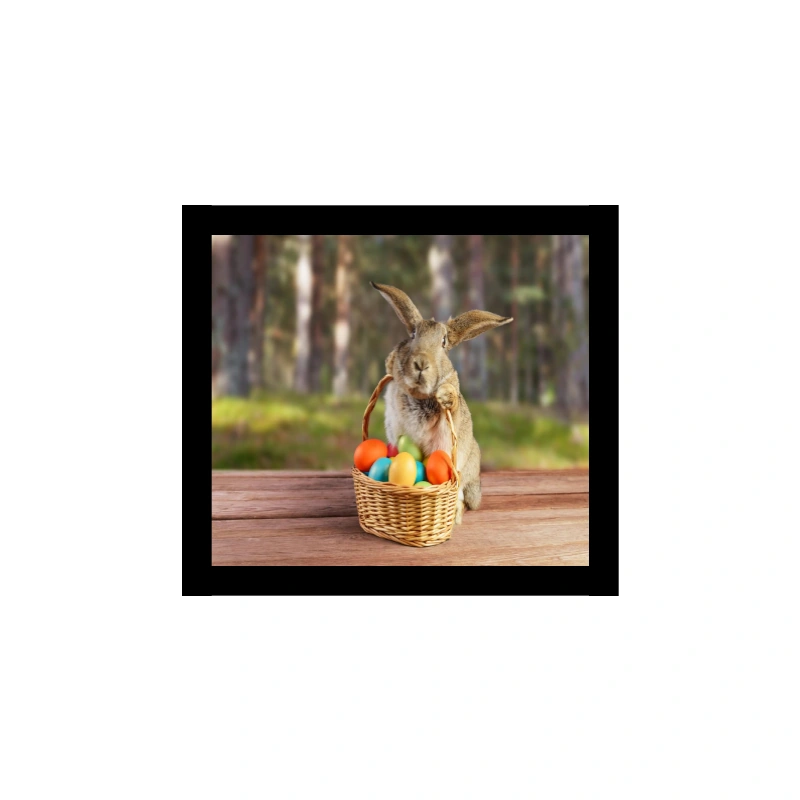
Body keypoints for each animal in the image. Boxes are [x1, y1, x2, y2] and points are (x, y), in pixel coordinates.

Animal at [370, 281, 513, 524]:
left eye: (444, 342)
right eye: (413, 334)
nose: (420, 363)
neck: (419, 394)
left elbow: (451, 403)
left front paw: (445, 395)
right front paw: (390, 360)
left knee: (463, 499)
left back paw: (456, 514)